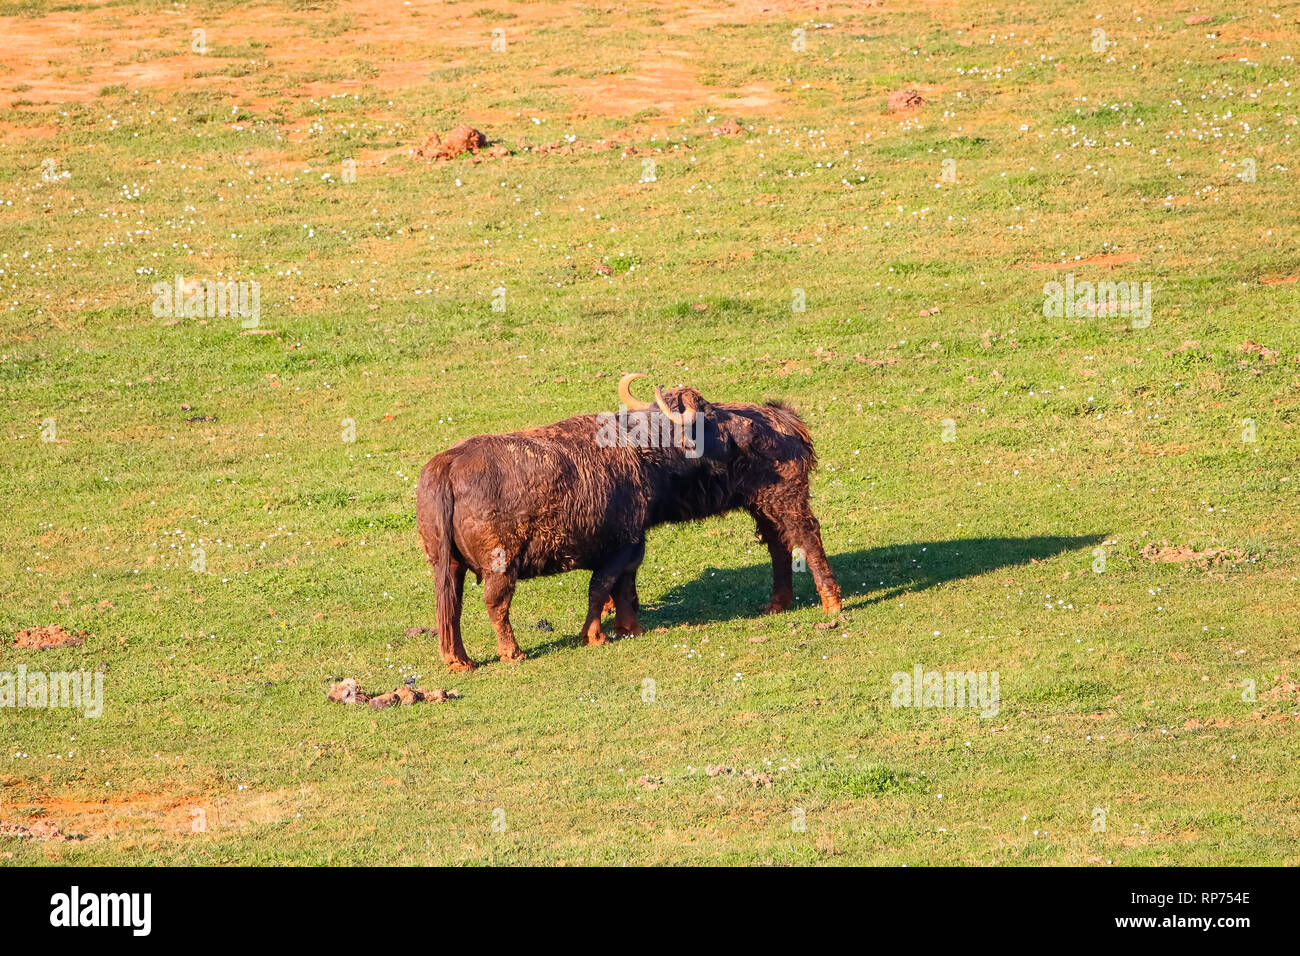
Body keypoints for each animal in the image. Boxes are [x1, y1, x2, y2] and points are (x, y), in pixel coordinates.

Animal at [416, 374, 841, 671]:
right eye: (706, 412)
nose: (745, 428)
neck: (640, 450)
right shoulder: (625, 544)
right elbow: (605, 587)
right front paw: (598, 634)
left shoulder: (628, 546)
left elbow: (618, 588)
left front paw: (626, 627)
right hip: (499, 566)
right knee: (494, 603)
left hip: (446, 565)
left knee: (448, 607)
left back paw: (461, 660)